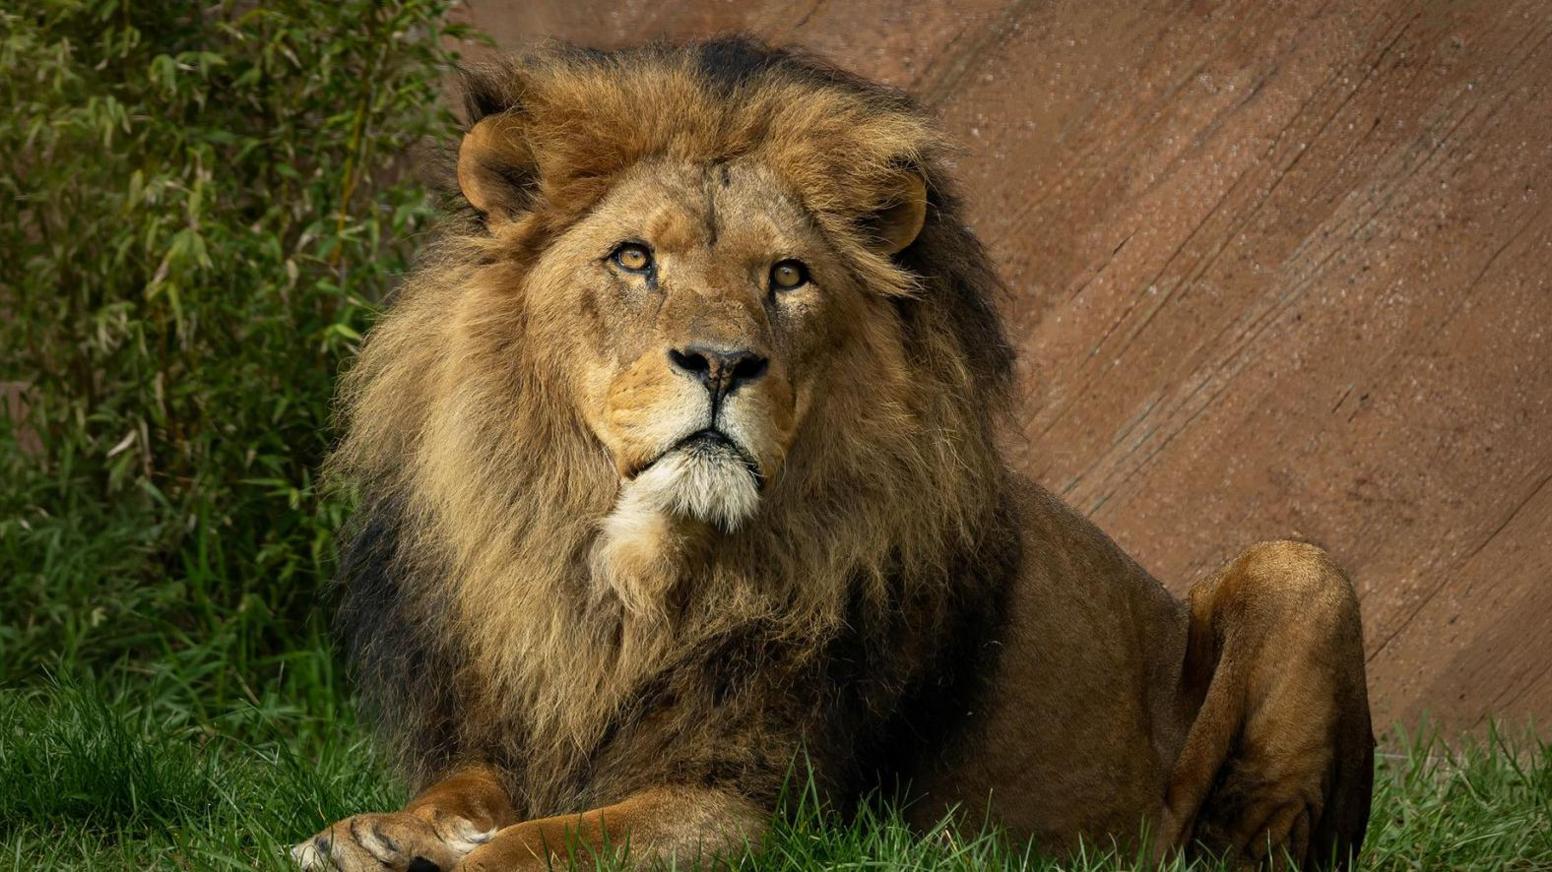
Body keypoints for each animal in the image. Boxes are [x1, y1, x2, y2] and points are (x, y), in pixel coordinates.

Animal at [294, 37, 1374, 871]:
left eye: (787, 275)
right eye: (635, 258)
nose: (723, 362)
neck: (633, 582)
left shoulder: (756, 805)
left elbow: (558, 838)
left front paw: (450, 855)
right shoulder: (504, 725)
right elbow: (463, 788)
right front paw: (373, 833)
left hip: (1300, 573)